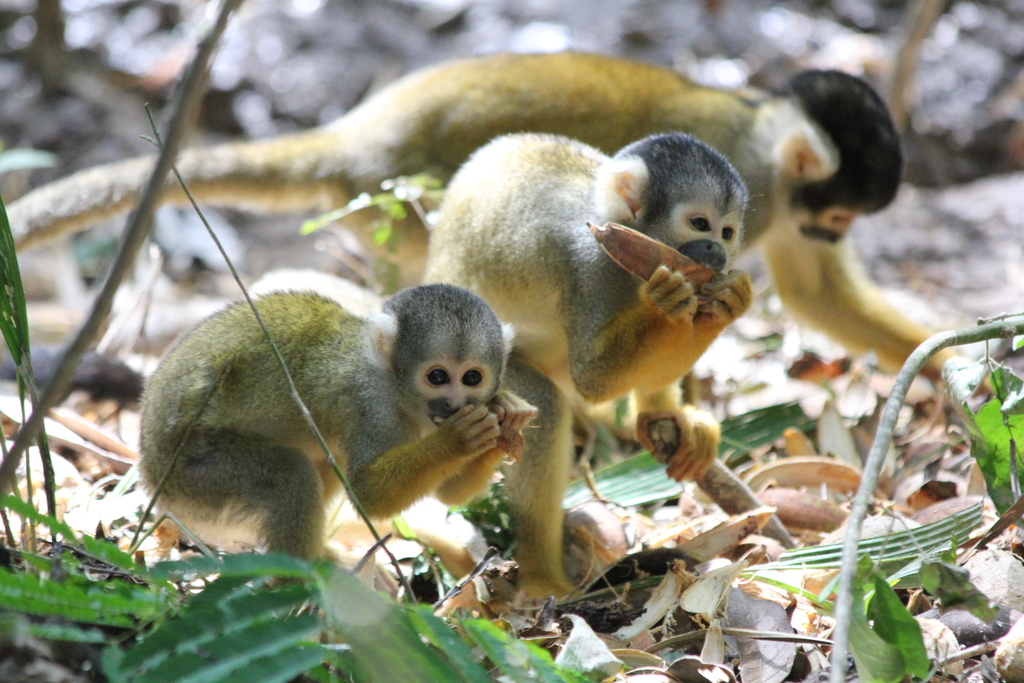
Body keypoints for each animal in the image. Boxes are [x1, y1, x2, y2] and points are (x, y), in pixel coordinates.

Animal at [7, 52, 952, 375]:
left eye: (837, 227)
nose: (833, 232)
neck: (761, 130)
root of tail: (361, 137)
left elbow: (816, 297)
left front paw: (948, 358)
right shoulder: (751, 191)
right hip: (400, 206)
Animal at [137, 283, 535, 562]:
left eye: (472, 378)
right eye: (437, 377)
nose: (455, 404)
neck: (395, 385)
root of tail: (148, 466)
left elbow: (447, 494)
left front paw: (507, 419)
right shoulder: (370, 402)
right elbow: (368, 495)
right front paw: (457, 439)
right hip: (192, 475)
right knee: (292, 475)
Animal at [421, 131, 751, 596]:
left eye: (727, 231)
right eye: (700, 224)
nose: (717, 252)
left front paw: (727, 303)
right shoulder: (591, 267)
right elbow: (594, 378)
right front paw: (667, 306)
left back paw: (658, 417)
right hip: (482, 373)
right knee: (546, 402)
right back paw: (541, 574)